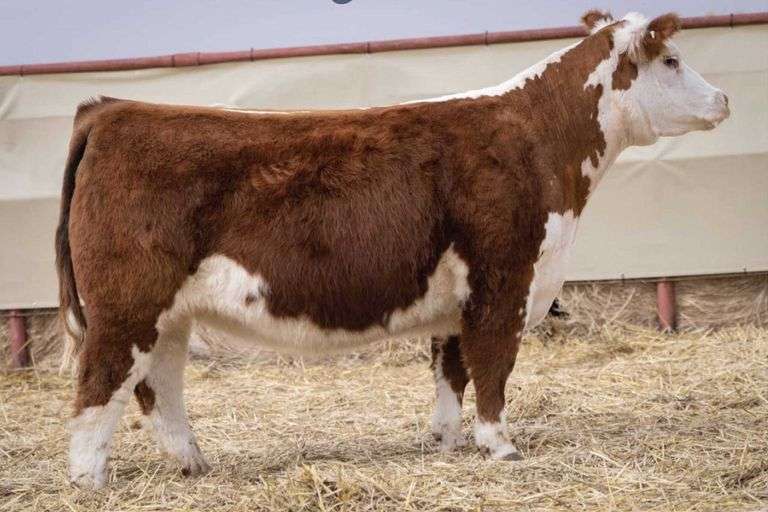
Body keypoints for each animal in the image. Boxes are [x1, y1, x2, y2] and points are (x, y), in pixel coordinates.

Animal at [56, 11, 729, 489]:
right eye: (672, 60)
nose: (725, 100)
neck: (541, 142)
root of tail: (111, 109)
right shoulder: (504, 279)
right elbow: (493, 366)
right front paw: (501, 446)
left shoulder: (460, 297)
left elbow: (451, 369)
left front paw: (447, 440)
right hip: (125, 304)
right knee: (100, 383)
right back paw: (90, 480)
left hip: (169, 313)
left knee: (159, 383)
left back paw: (193, 463)